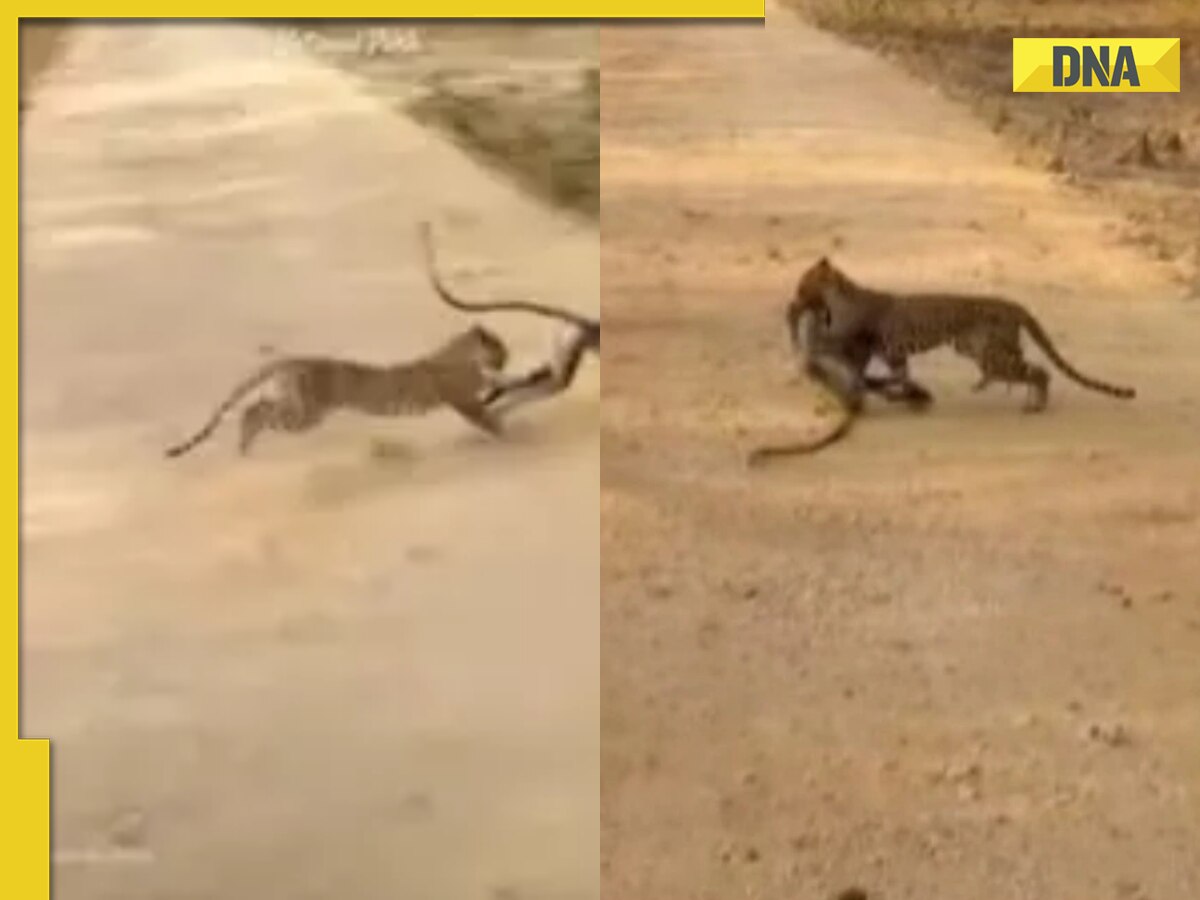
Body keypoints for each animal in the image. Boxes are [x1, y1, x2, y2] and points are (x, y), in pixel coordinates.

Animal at [164, 325, 511, 459]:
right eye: (500, 349)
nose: (507, 356)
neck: (463, 353)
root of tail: (294, 359)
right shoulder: (464, 398)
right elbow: (487, 415)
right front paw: (507, 437)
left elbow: (496, 389)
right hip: (306, 414)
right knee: (256, 412)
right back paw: (244, 446)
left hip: (297, 406)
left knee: (259, 406)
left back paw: (244, 446)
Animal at [418, 220, 598, 415]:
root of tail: (584, 321)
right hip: (570, 345)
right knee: (554, 382)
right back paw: (495, 386)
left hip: (565, 344)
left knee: (542, 376)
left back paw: (495, 389)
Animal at [747, 256, 1135, 464]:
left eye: (803, 284)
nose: (794, 297)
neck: (838, 297)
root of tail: (1013, 304)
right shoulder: (892, 353)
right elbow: (897, 375)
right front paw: (904, 393)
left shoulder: (860, 342)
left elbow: (843, 355)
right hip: (980, 349)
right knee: (1026, 368)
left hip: (991, 353)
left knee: (1039, 371)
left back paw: (1034, 406)